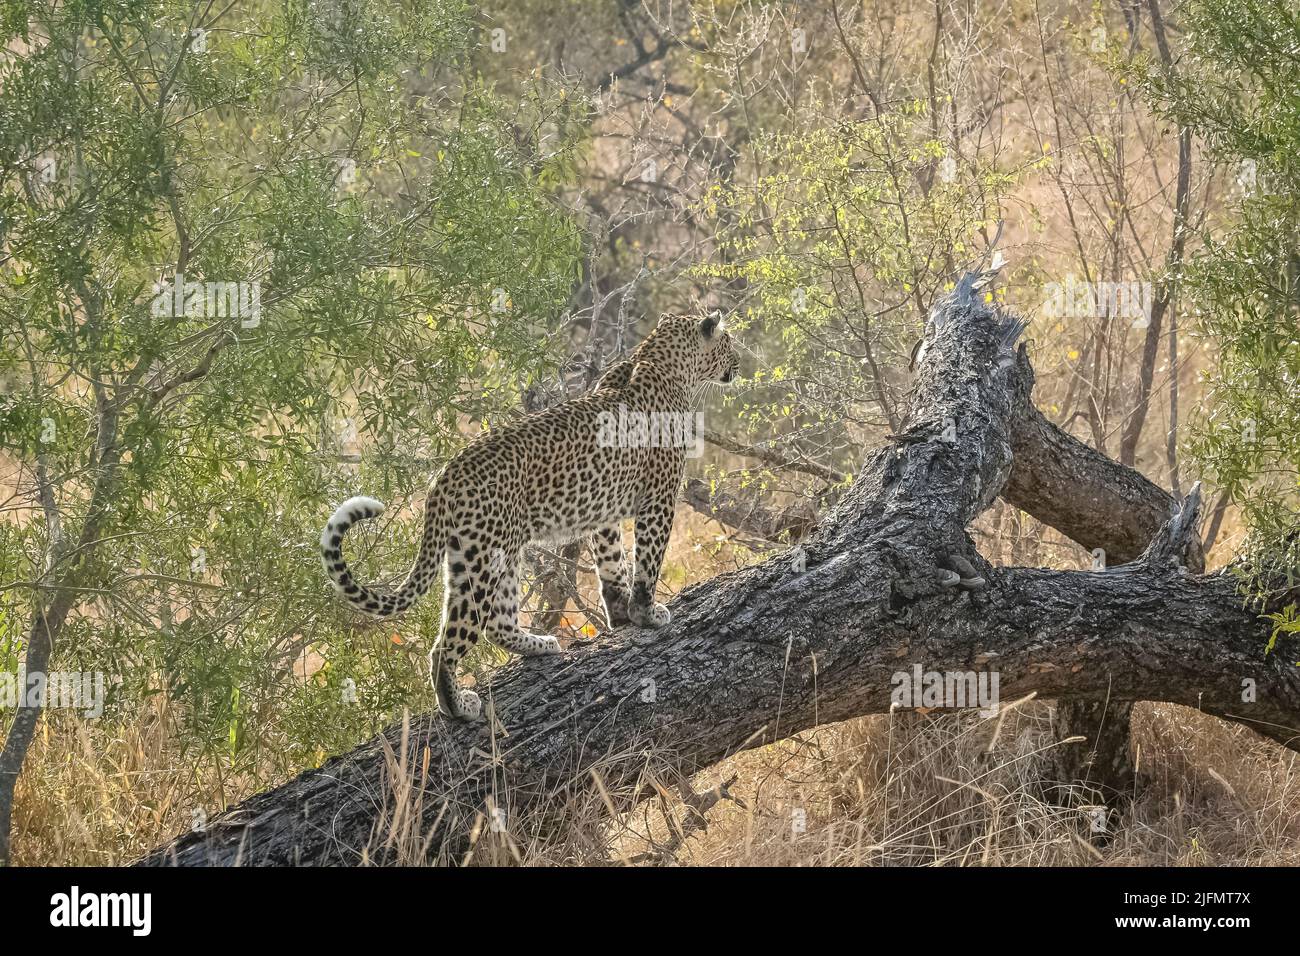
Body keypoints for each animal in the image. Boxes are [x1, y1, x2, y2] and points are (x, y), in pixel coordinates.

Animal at [320, 311, 740, 720]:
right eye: (729, 342)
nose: (738, 363)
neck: (658, 360)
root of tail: (445, 473)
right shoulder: (659, 499)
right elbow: (648, 561)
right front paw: (647, 613)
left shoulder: (605, 515)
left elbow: (612, 566)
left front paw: (622, 615)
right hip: (485, 557)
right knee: (448, 643)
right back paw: (459, 707)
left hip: (483, 553)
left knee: (496, 622)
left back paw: (539, 644)